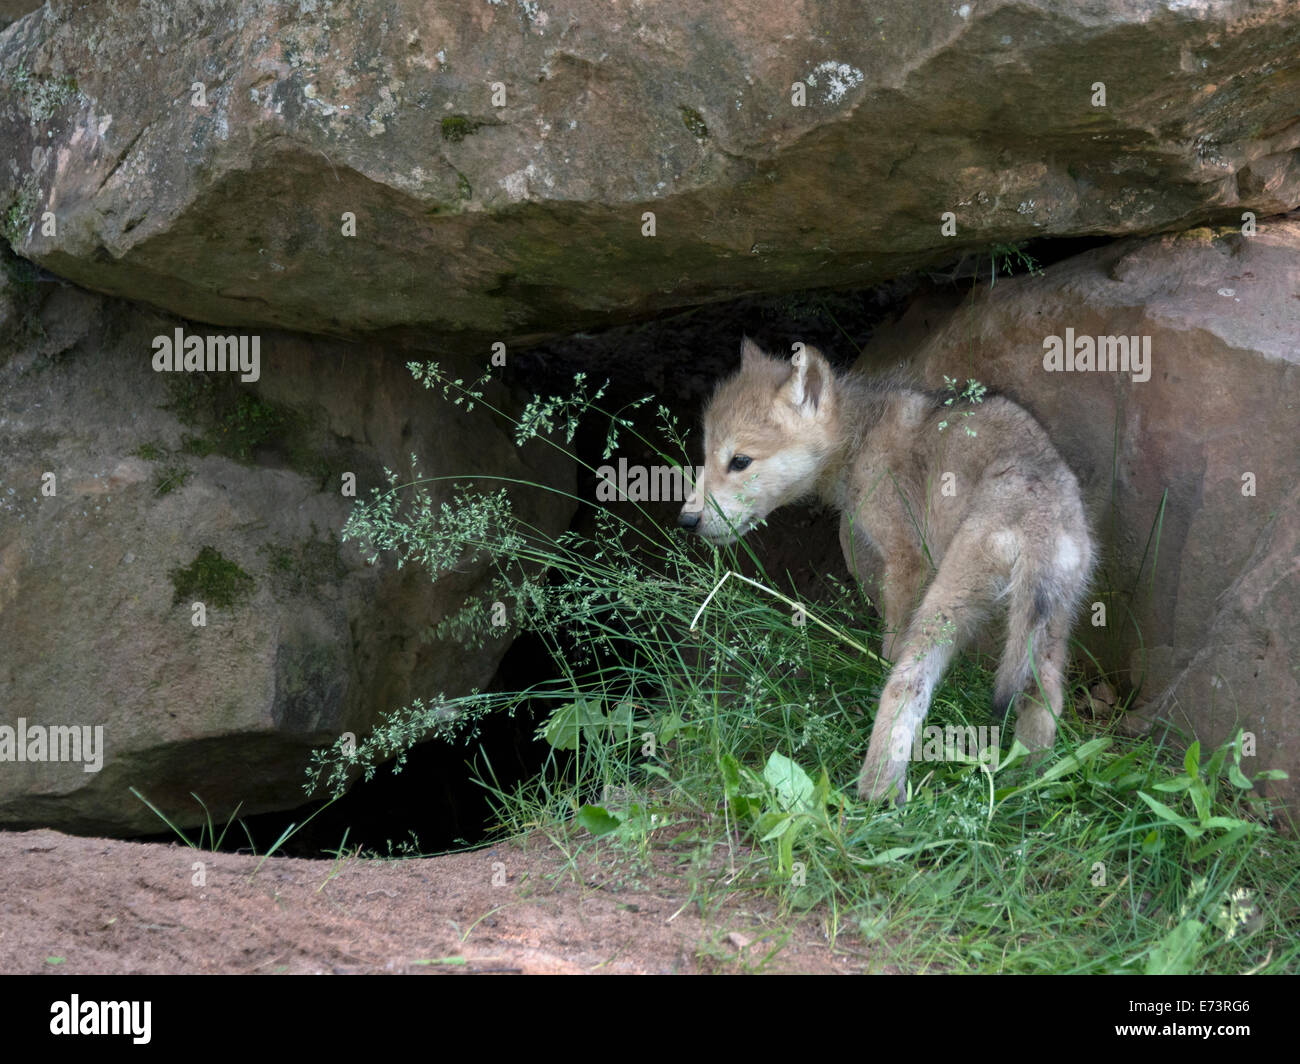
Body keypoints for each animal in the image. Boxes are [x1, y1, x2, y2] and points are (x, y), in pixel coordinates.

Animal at [678, 338, 1094, 805]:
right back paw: (1026, 782)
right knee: (1047, 697)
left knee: (905, 686)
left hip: (945, 605)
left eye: (740, 461)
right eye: (706, 454)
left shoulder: (905, 561)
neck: (861, 438)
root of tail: (1037, 518)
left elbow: (890, 648)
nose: (686, 520)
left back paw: (878, 790)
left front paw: (876, 668)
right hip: (1049, 624)